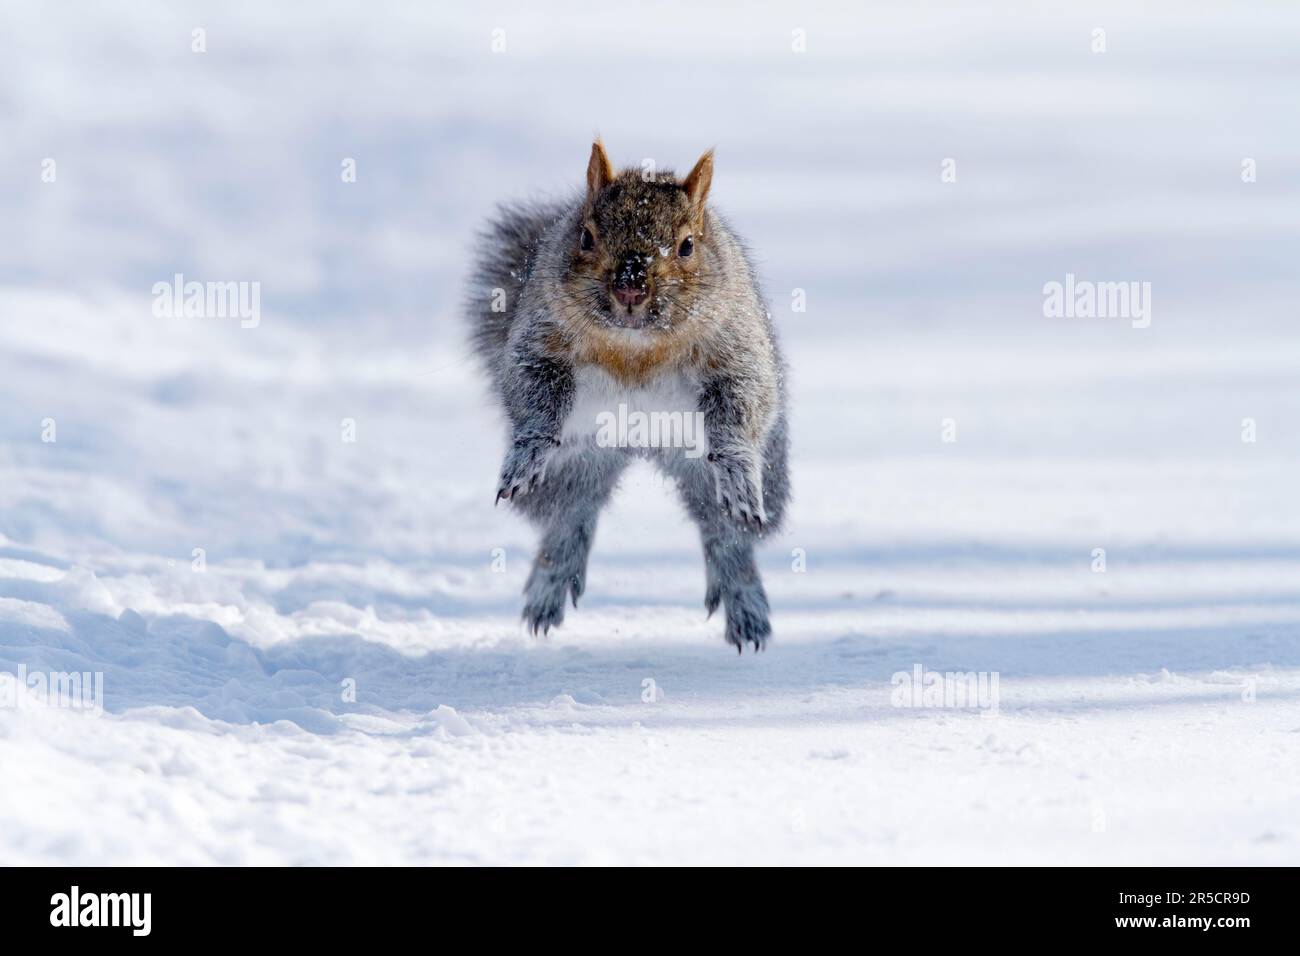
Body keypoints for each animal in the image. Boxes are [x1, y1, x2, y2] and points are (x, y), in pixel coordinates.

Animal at [468, 140, 790, 652]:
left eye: (687, 244)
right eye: (586, 237)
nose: (630, 286)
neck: (636, 349)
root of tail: (636, 445)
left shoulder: (734, 344)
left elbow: (743, 396)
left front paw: (738, 466)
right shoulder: (541, 339)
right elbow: (531, 387)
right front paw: (529, 448)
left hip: (733, 475)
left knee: (726, 533)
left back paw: (745, 602)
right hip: (577, 464)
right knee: (570, 516)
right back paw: (549, 586)